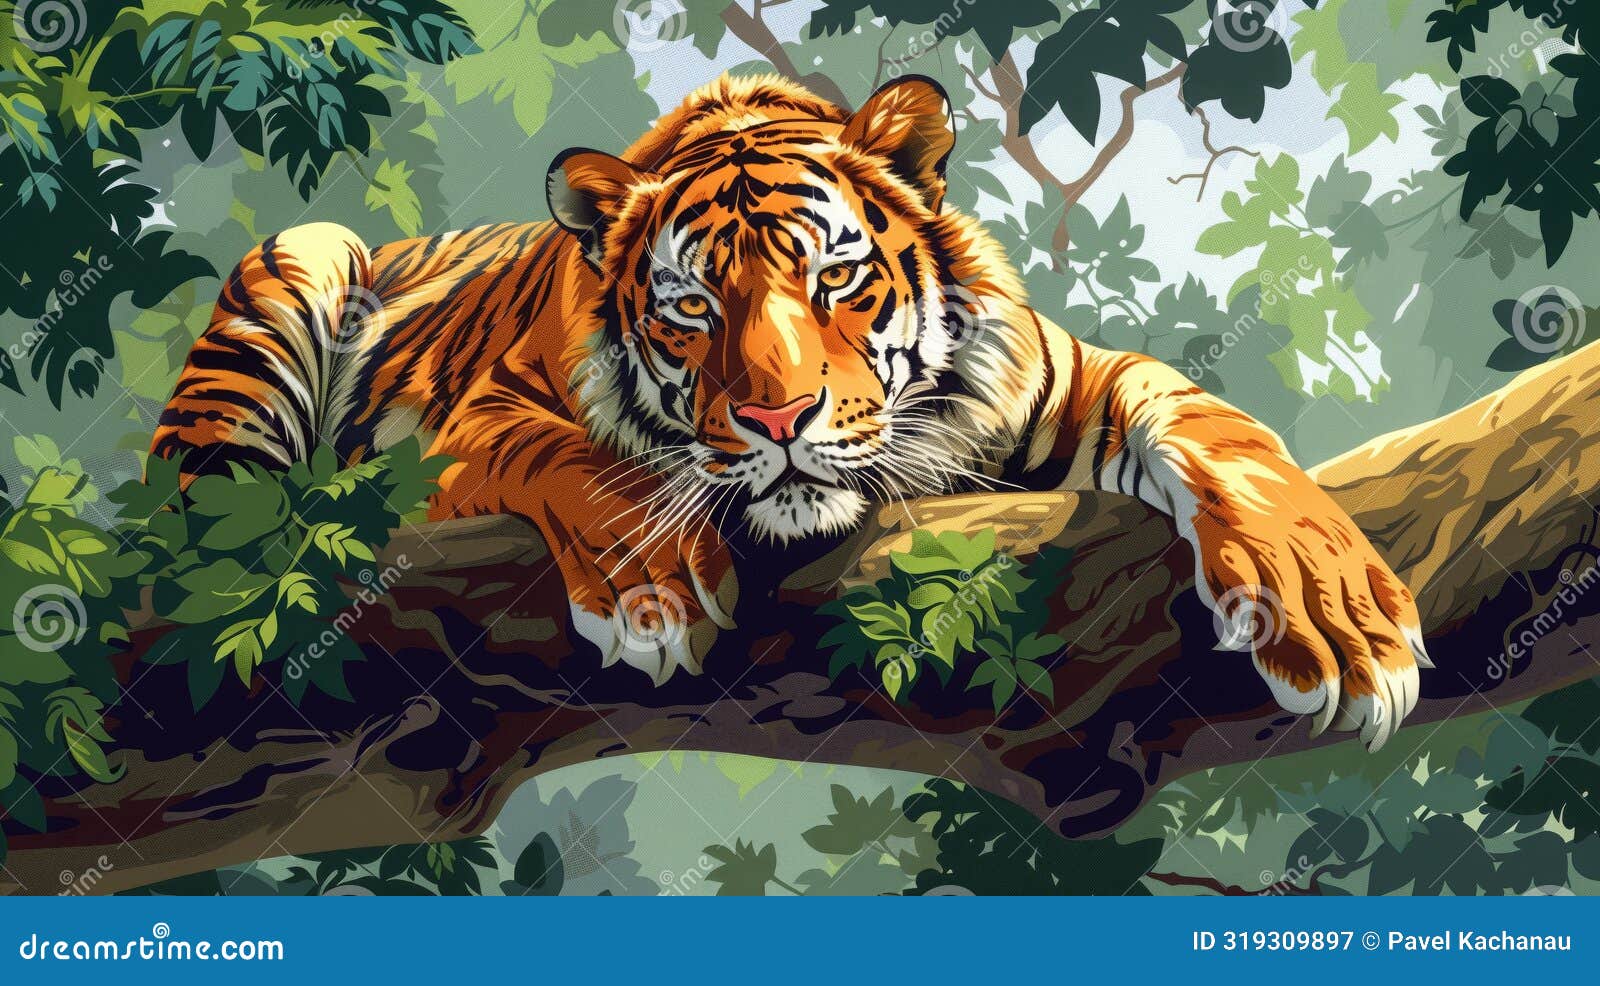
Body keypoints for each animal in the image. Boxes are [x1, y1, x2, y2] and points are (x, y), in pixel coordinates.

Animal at [151, 73, 1429, 750]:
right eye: (690, 305)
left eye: (835, 278)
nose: (778, 419)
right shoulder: (476, 418)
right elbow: (586, 462)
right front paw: (653, 590)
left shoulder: (1074, 381)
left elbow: (1217, 426)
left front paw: (1336, 613)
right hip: (303, 257)